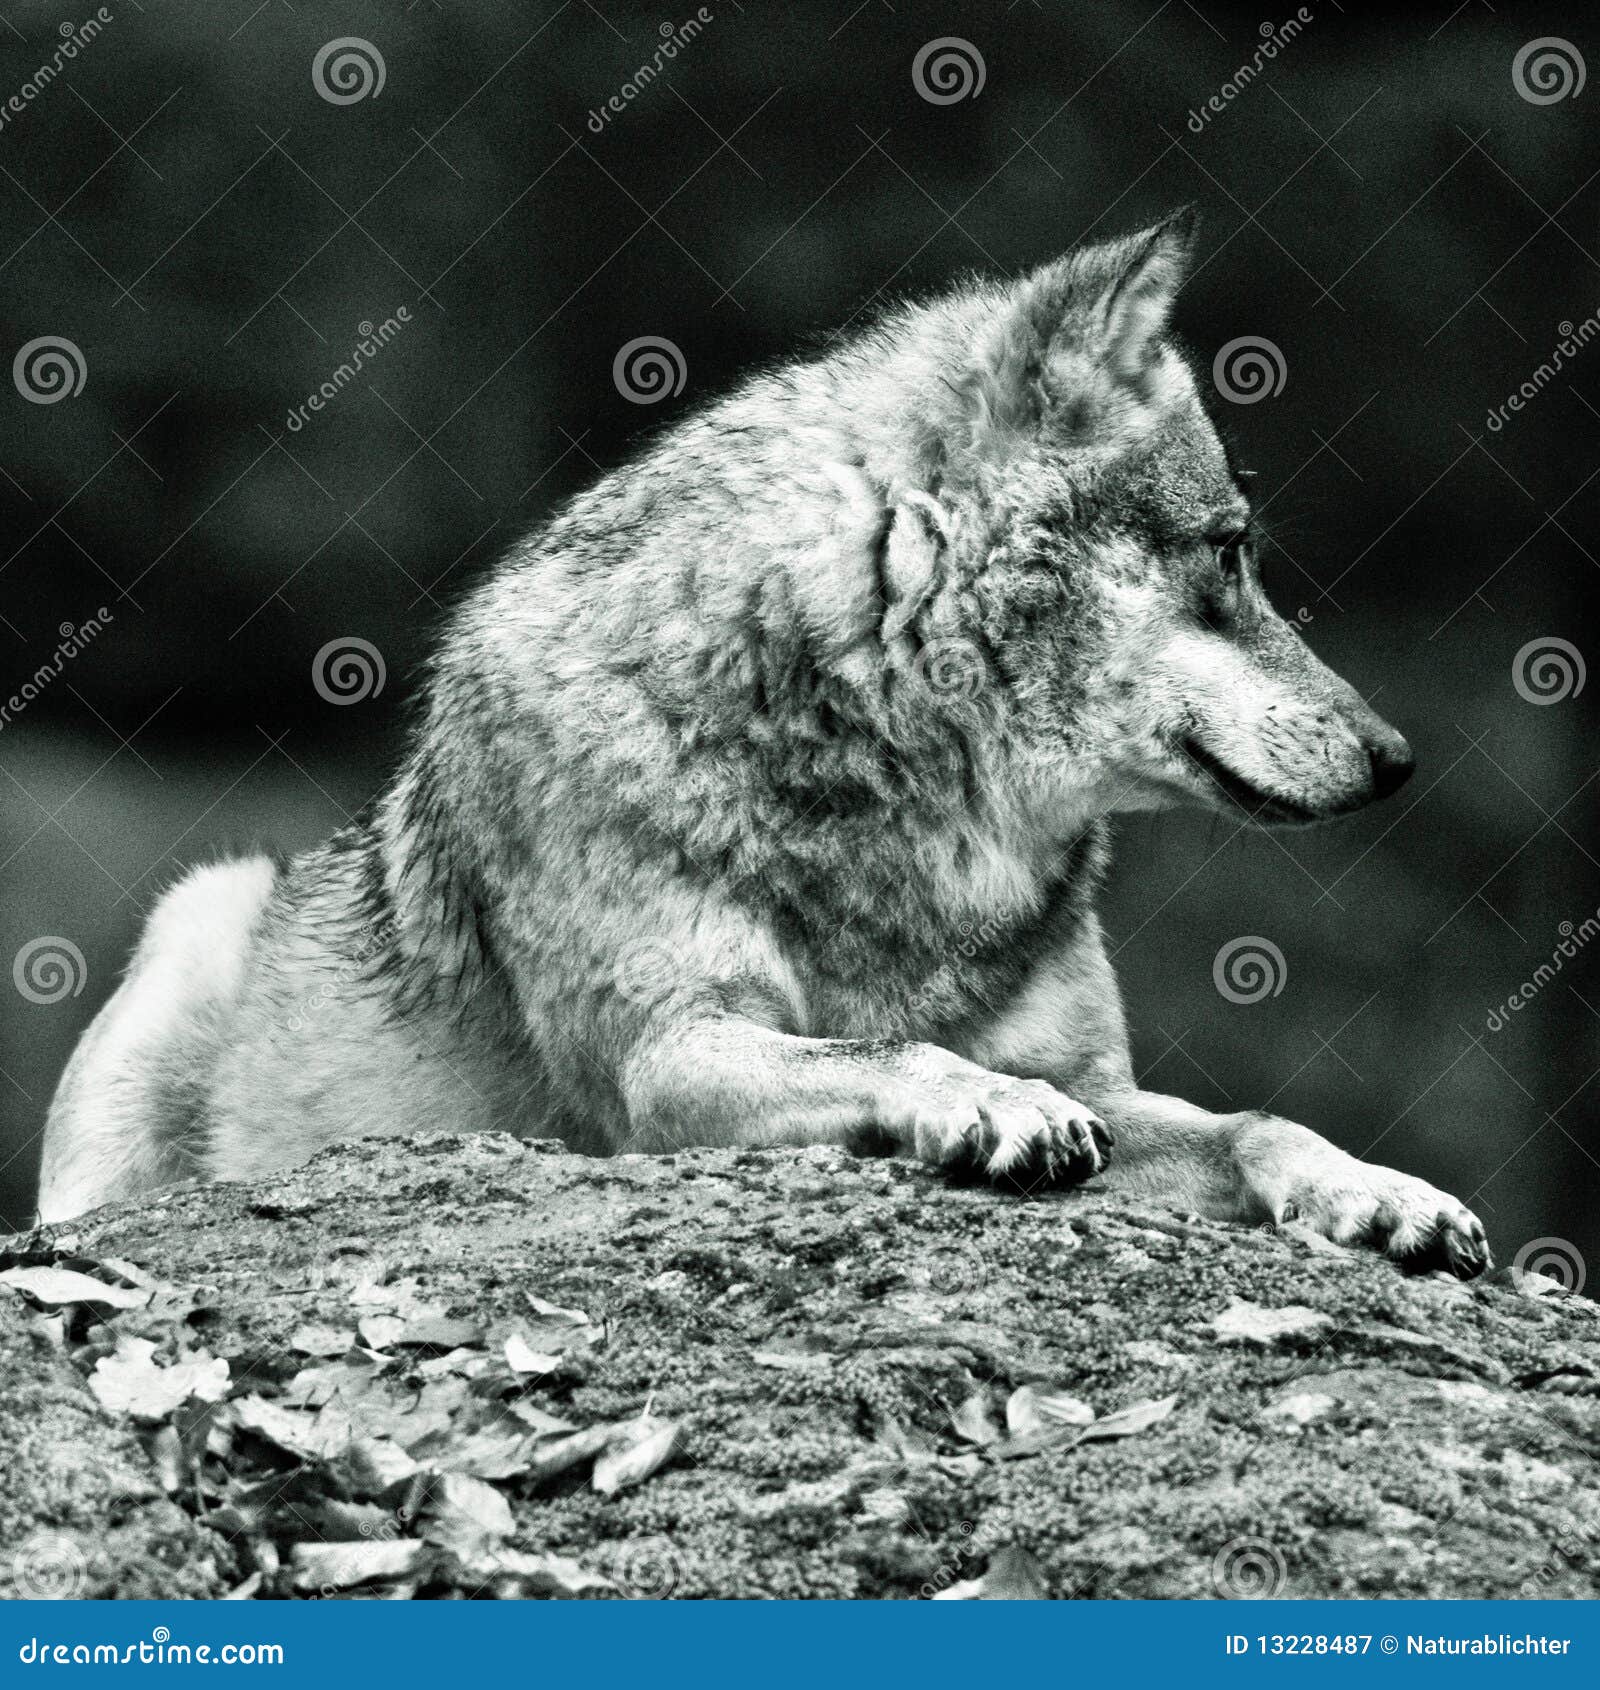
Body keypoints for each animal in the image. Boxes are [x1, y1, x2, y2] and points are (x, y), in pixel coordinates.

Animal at [37, 211, 1489, 1275]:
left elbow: (1254, 1122)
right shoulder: (667, 1060)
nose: (1398, 757)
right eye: (1232, 554)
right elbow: (896, 1054)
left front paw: (1380, 1191)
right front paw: (986, 1103)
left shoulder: (1105, 1084)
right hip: (192, 921)